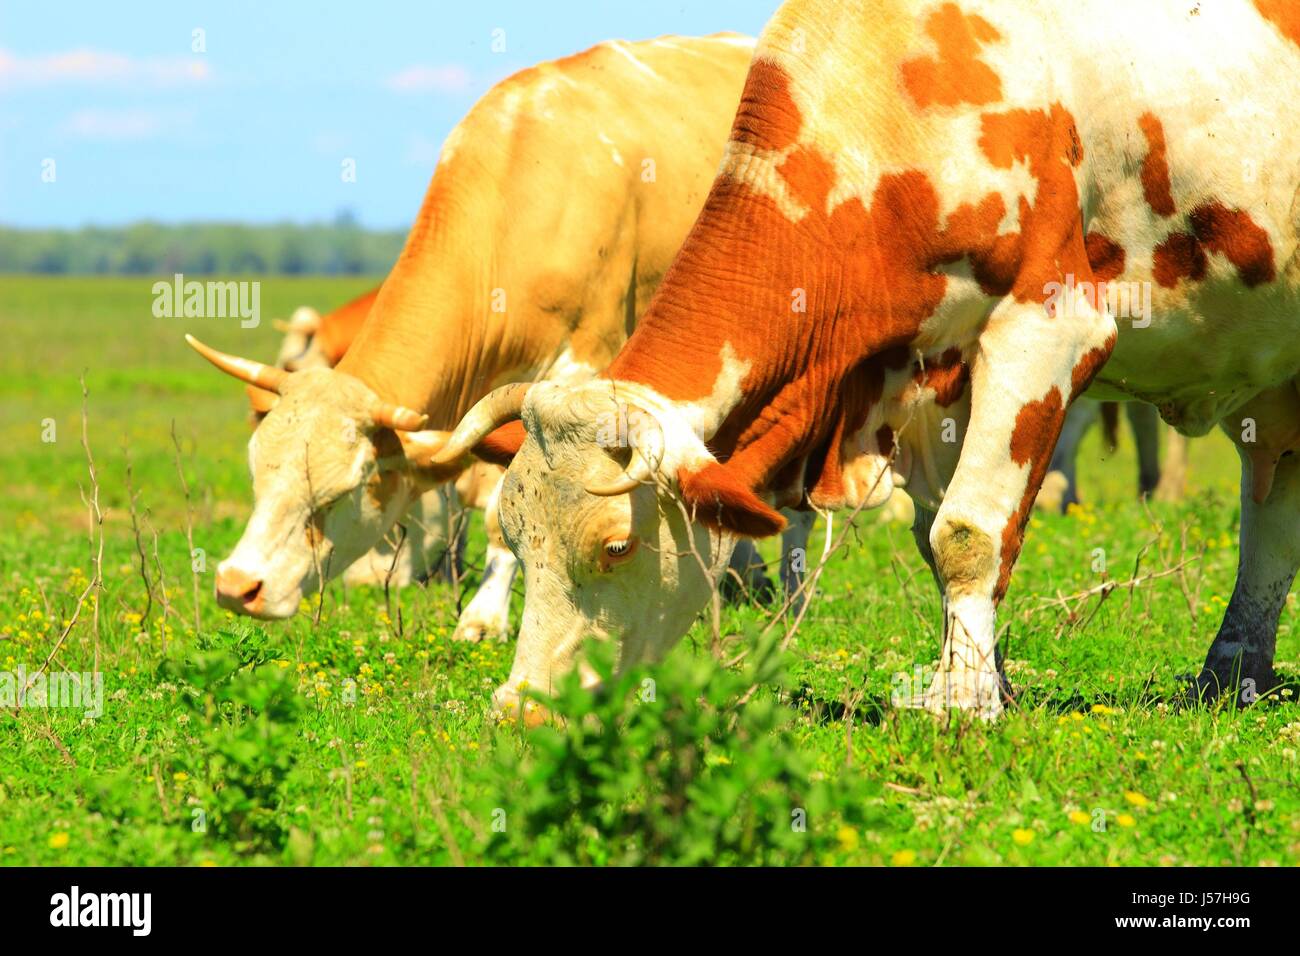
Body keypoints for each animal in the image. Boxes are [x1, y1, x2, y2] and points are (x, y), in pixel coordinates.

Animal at [434, 0, 1300, 718]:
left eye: (615, 546)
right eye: (514, 534)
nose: (521, 711)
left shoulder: (1049, 325)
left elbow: (969, 532)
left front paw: (960, 701)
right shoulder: (925, 376)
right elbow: (934, 533)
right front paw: (988, 680)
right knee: (1271, 511)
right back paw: (1233, 671)